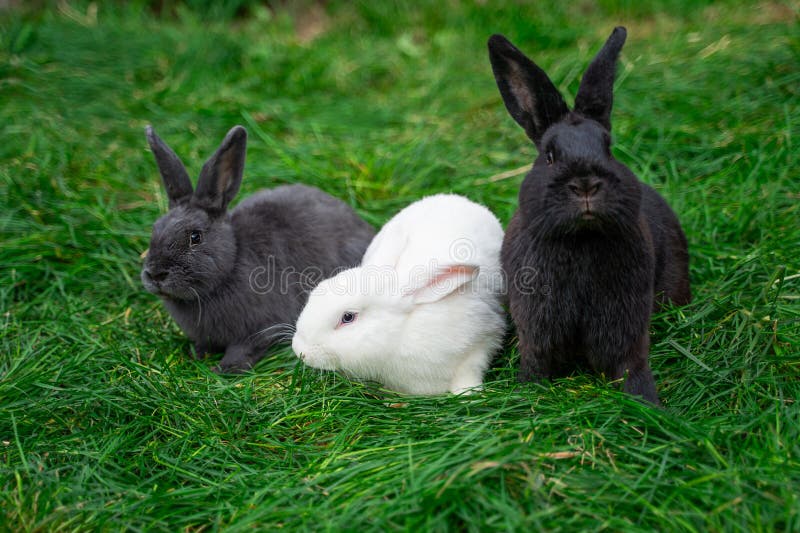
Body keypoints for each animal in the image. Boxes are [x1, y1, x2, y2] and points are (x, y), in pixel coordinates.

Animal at [141, 125, 375, 373]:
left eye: (195, 237)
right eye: (155, 229)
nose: (155, 274)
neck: (230, 264)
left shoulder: (258, 329)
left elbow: (243, 350)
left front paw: (225, 369)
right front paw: (196, 355)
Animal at [290, 194, 507, 395]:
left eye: (348, 317)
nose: (300, 350)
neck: (399, 334)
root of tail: (460, 200)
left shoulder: (482, 340)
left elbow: (470, 371)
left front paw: (469, 395)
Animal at [487, 27, 691, 405]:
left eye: (608, 148)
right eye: (549, 155)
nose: (585, 183)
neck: (580, 239)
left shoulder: (625, 324)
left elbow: (630, 364)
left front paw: (648, 403)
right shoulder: (537, 328)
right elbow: (536, 361)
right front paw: (527, 392)